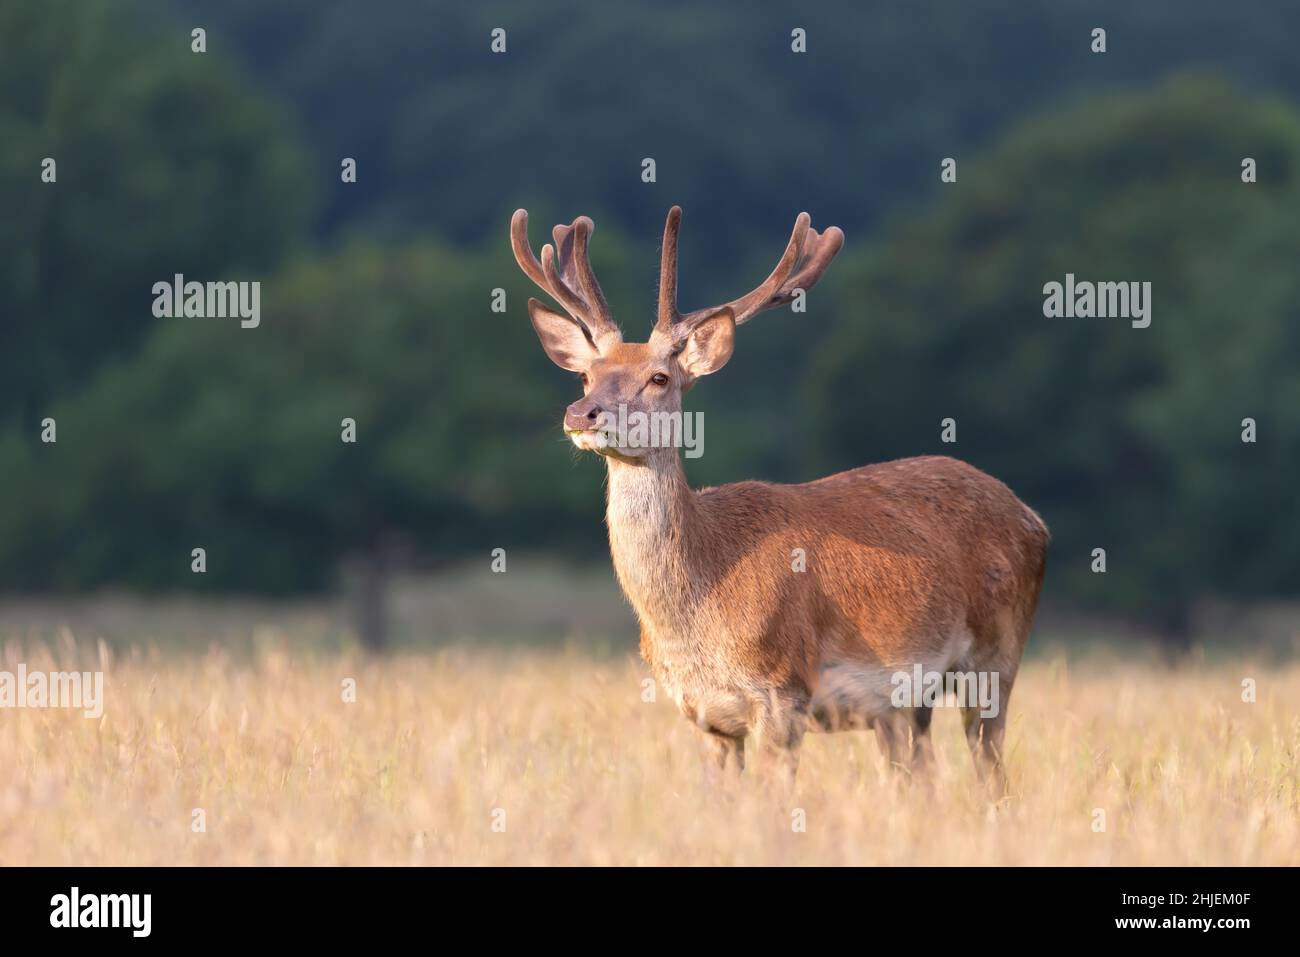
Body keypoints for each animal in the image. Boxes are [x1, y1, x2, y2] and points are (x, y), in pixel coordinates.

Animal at [511, 206, 1049, 792]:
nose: (581, 413)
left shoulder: (781, 689)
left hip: (997, 658)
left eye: (659, 378)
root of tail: (1033, 517)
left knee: (992, 770)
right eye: (586, 376)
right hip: (907, 703)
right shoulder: (704, 715)